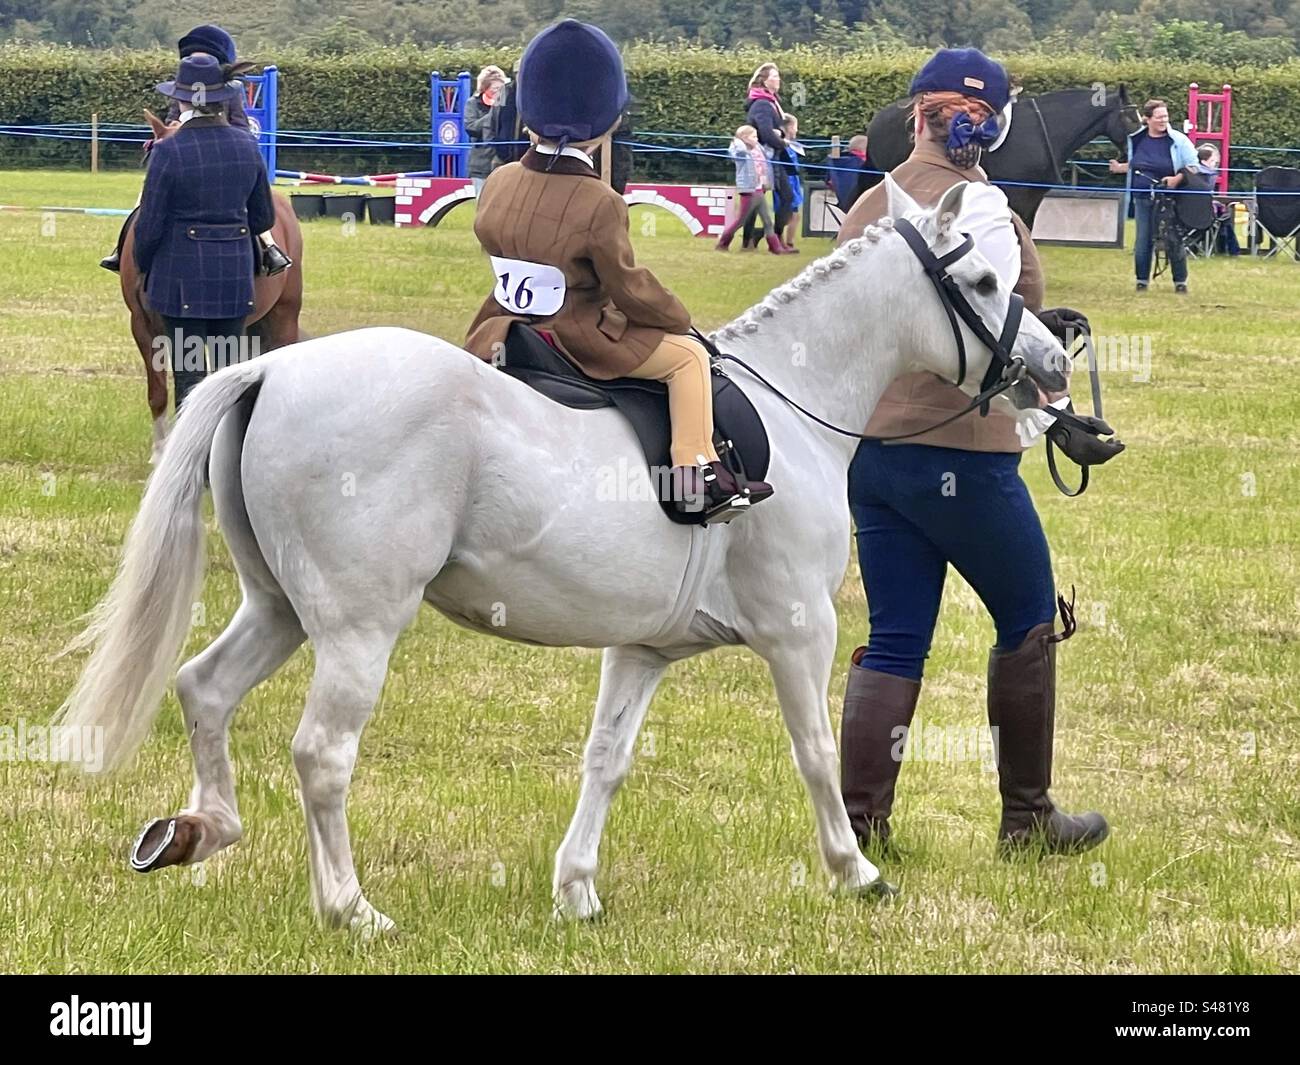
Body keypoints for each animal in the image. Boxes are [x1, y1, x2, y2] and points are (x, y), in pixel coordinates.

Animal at [56, 179, 1068, 936]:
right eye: (983, 279)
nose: (1054, 364)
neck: (795, 401)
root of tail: (272, 368)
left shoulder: (643, 648)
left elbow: (605, 758)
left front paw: (576, 889)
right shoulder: (797, 630)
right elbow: (817, 751)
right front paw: (855, 872)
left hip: (280, 608)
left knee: (204, 688)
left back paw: (201, 830)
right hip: (357, 627)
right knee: (322, 753)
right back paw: (351, 908)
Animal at [863, 87, 1141, 228]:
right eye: (1130, 118)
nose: (1135, 156)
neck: (1044, 130)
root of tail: (878, 119)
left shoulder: (1032, 199)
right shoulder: (1017, 196)